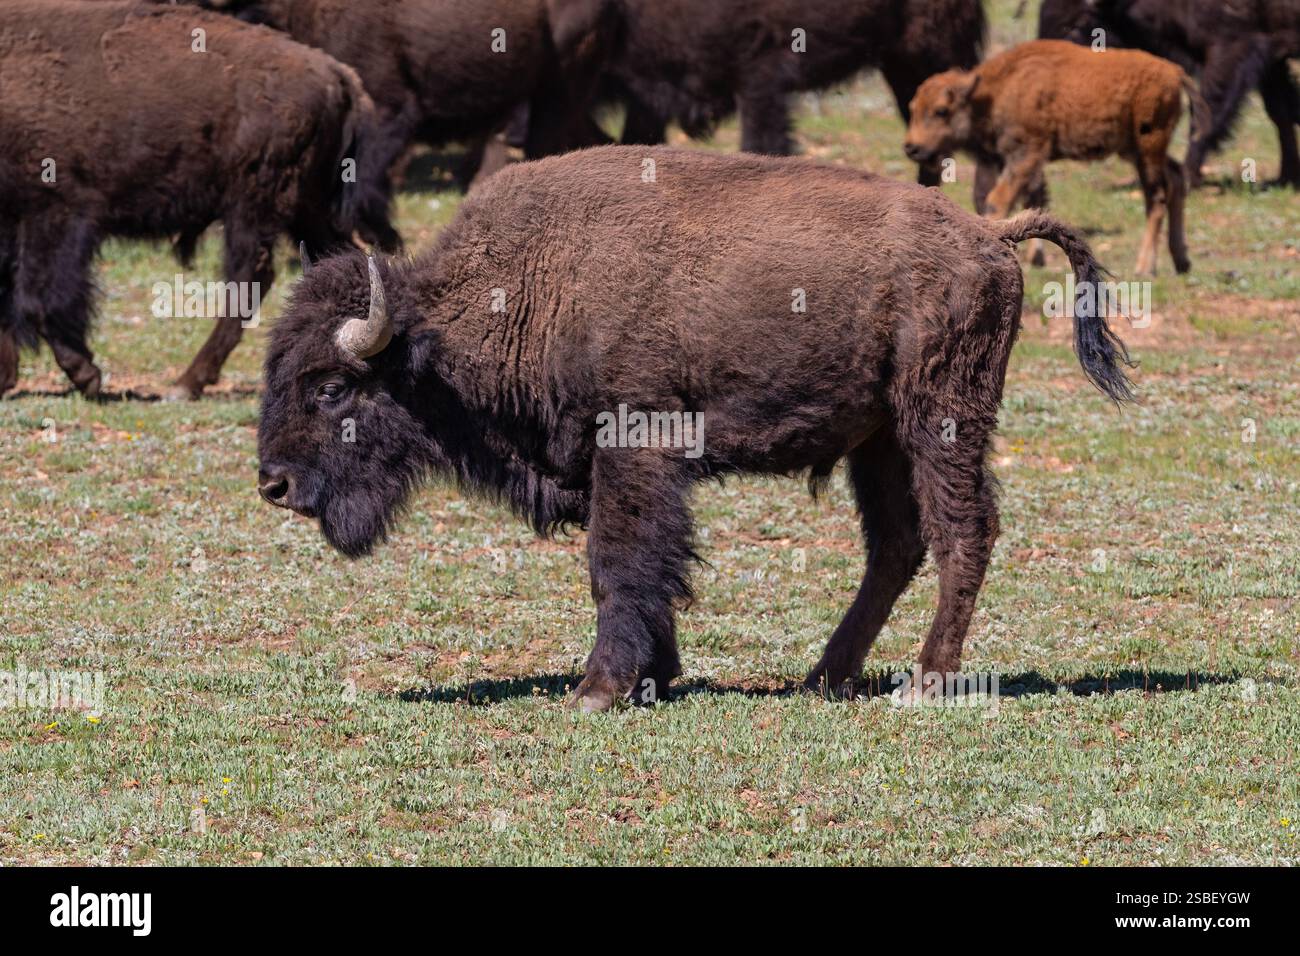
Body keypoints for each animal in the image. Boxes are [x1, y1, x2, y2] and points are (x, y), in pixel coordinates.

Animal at [0, 0, 396, 400]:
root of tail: (339, 75)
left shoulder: (54, 211)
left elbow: (38, 299)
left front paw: (87, 375)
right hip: (304, 209)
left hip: (252, 207)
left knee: (250, 279)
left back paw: (186, 383)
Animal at [256, 146, 1133, 712]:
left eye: (331, 387)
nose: (274, 482)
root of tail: (990, 235)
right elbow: (653, 565)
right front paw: (655, 674)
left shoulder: (634, 445)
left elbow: (619, 560)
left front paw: (597, 691)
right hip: (880, 438)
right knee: (896, 544)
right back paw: (826, 677)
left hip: (941, 419)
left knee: (961, 532)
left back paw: (926, 681)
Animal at [1039, 0, 1300, 187]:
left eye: (1076, 24)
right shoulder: (1271, 60)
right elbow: (1281, 113)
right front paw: (1286, 177)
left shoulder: (1231, 51)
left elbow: (1205, 116)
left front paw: (1187, 177)